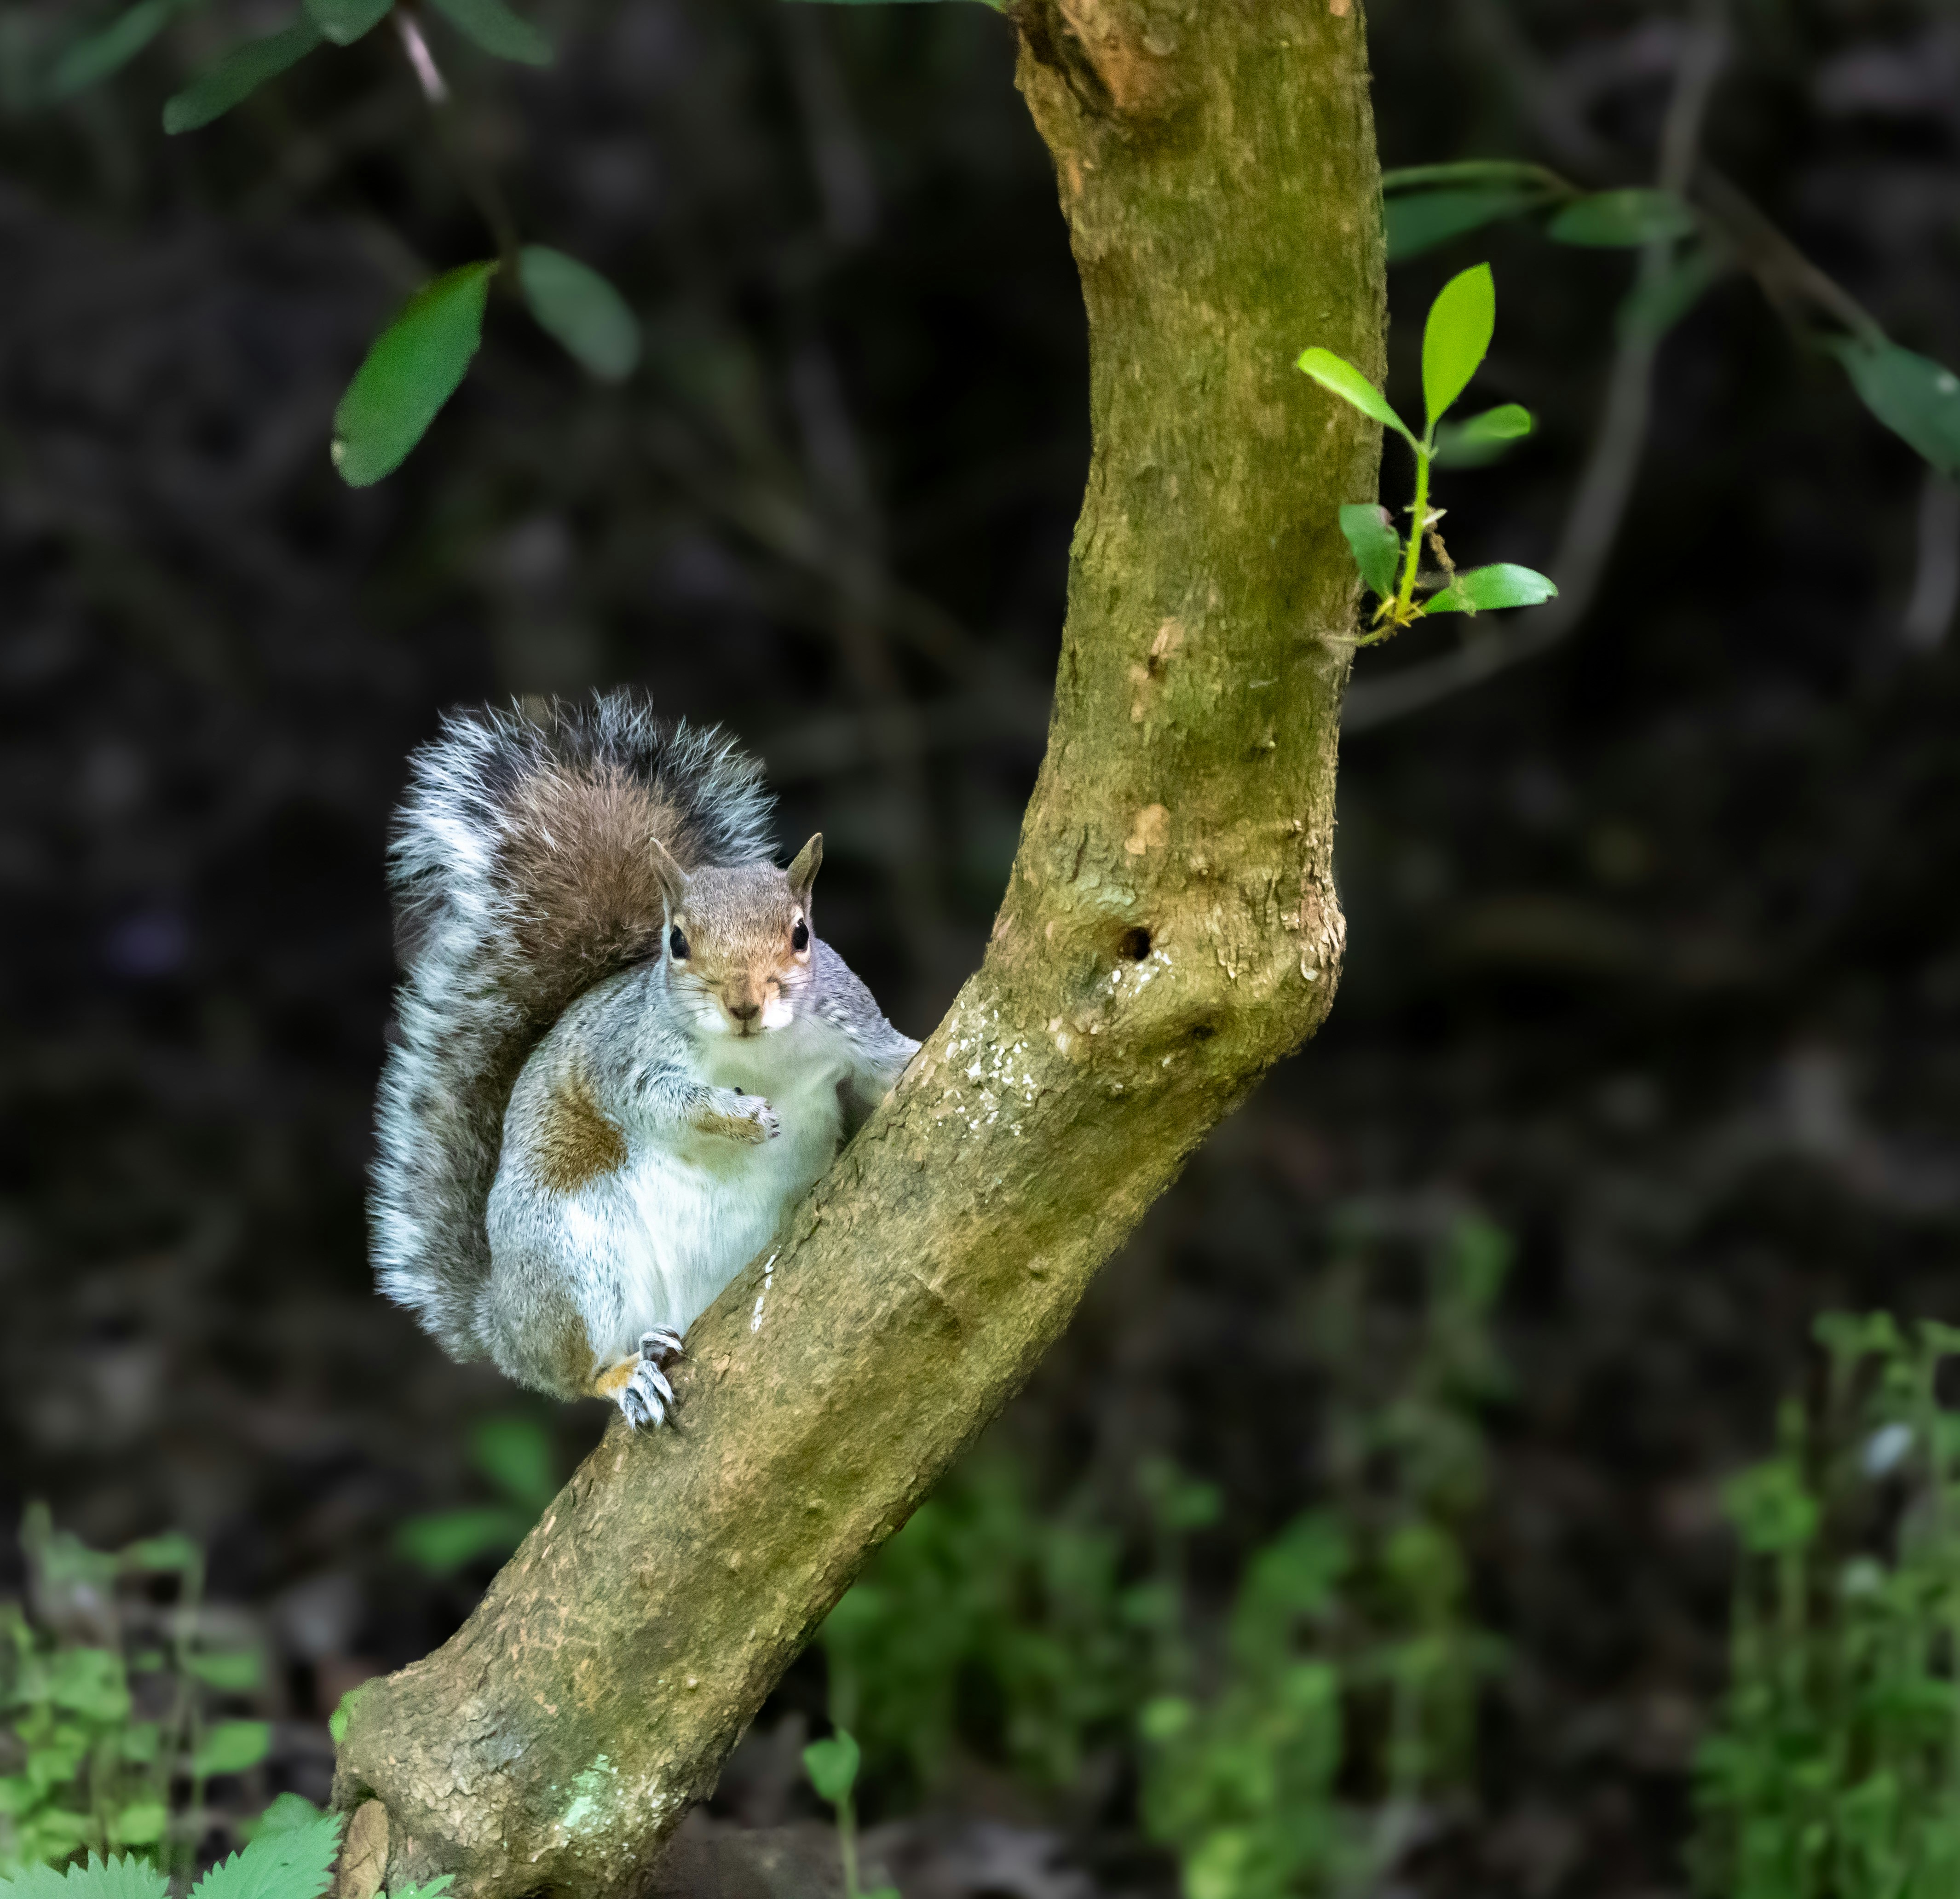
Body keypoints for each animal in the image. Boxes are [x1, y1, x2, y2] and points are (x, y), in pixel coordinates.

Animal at [370, 690, 919, 1430]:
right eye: (678, 942)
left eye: (802, 934)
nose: (744, 1003)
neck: (759, 1053)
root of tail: (503, 1326)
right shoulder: (624, 1058)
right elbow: (659, 1101)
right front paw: (740, 1118)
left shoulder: (853, 1031)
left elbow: (887, 1069)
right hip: (571, 1257)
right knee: (575, 1372)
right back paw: (625, 1373)